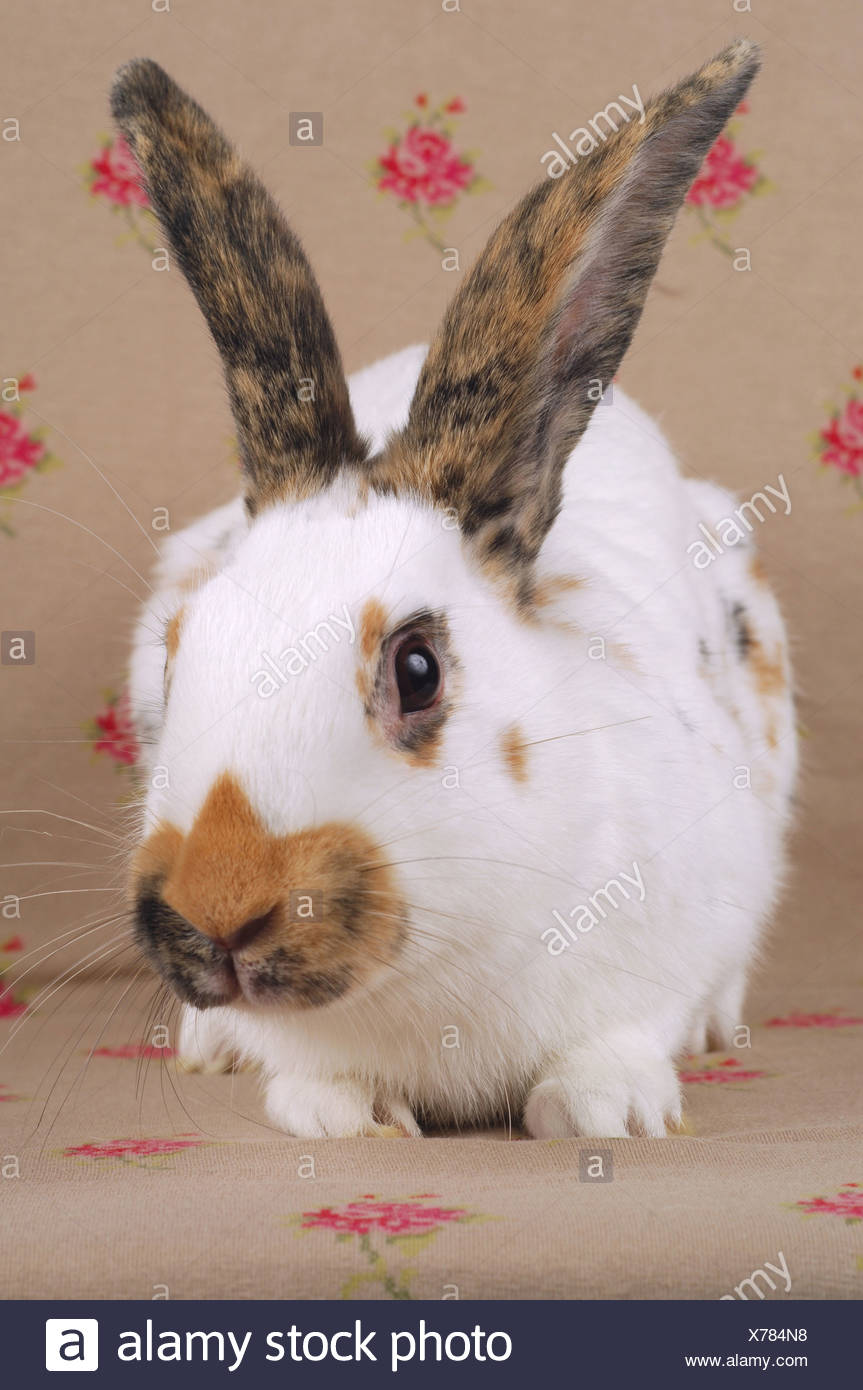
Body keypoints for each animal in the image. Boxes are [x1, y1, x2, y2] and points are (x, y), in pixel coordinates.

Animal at [116, 38, 797, 1140]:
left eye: (418, 668)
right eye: (178, 656)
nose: (216, 912)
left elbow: (617, 1042)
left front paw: (609, 1108)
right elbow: (324, 1089)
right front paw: (338, 1113)